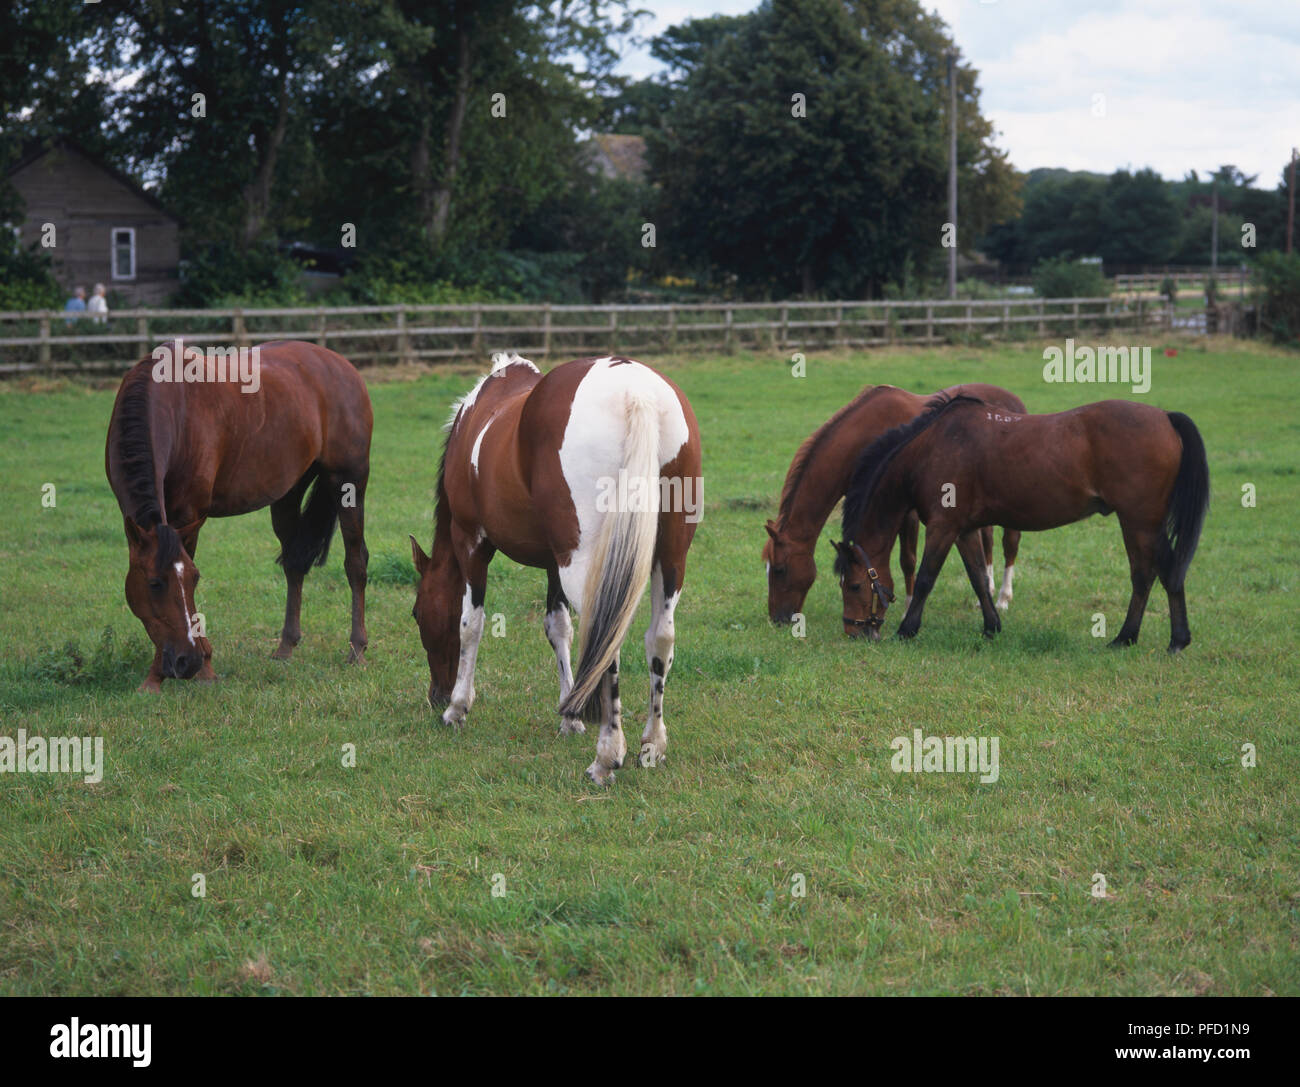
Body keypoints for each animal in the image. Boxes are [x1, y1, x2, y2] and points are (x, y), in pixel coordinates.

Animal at [105, 339, 372, 690]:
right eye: (154, 584)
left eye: (194, 579)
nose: (187, 661)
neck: (168, 405)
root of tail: (342, 366)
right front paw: (159, 675)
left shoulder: (189, 512)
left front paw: (198, 668)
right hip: (288, 492)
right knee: (294, 563)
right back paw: (285, 646)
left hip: (349, 481)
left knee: (355, 562)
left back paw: (357, 648)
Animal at [409, 353, 702, 786]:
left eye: (417, 613)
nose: (437, 695)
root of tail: (636, 389)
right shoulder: (553, 562)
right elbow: (558, 627)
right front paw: (570, 714)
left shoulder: (471, 542)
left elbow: (470, 624)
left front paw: (458, 707)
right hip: (670, 556)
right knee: (660, 638)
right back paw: (652, 744)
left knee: (606, 641)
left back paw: (607, 756)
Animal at [763, 383, 1027, 627]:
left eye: (779, 569)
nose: (777, 619)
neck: (865, 435)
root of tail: (1013, 399)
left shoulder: (905, 510)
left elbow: (907, 561)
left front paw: (906, 609)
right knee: (987, 540)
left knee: (1010, 545)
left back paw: (1003, 597)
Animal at [833, 394, 1209, 651]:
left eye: (854, 586)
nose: (853, 631)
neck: (930, 448)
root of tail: (1164, 417)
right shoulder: (964, 530)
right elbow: (978, 578)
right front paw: (991, 626)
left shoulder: (943, 527)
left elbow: (926, 578)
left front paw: (907, 630)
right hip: (1147, 524)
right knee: (1166, 572)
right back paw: (1171, 639)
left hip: (1139, 523)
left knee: (1146, 575)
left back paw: (1130, 637)